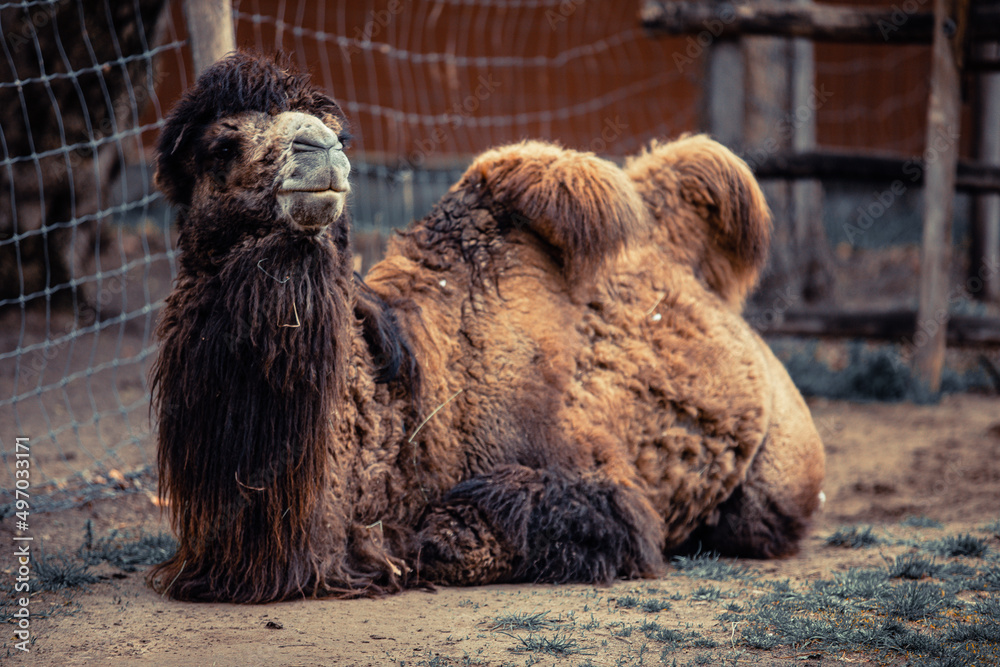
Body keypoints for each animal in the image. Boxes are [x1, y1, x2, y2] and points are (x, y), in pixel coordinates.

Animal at [148, 52, 825, 603]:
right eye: (219, 147)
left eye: (339, 133)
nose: (322, 151)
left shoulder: (596, 485)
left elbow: (450, 538)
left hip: (783, 467)